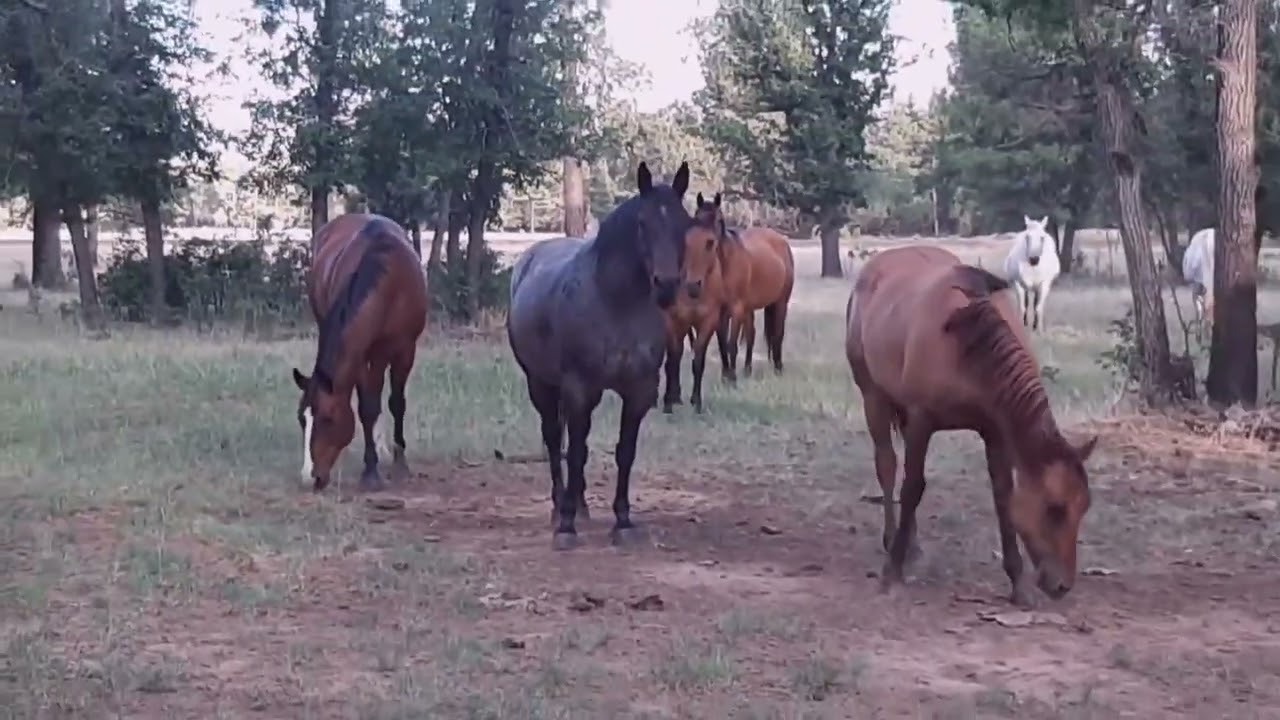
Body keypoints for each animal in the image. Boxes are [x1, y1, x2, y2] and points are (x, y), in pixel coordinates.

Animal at [290, 213, 429, 493]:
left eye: (328, 419)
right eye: (302, 419)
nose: (310, 478)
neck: (391, 283)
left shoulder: (405, 349)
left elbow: (396, 403)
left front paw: (399, 463)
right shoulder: (362, 355)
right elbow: (367, 408)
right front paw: (371, 469)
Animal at [507, 161, 692, 550]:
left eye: (684, 223)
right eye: (643, 223)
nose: (667, 286)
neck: (615, 302)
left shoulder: (639, 391)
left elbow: (624, 452)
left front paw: (623, 522)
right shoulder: (579, 388)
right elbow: (576, 452)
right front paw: (566, 527)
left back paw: (579, 504)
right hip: (540, 383)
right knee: (555, 439)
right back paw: (560, 506)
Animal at [659, 191, 731, 414]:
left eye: (710, 242)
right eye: (685, 241)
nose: (692, 285)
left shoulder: (708, 321)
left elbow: (698, 360)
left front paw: (696, 402)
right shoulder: (673, 320)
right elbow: (673, 358)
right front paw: (668, 402)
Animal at [715, 219, 795, 382]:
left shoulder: (736, 310)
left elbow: (731, 344)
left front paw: (731, 377)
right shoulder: (721, 313)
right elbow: (723, 344)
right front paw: (726, 376)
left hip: (781, 303)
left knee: (778, 334)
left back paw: (778, 368)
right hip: (749, 309)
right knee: (752, 335)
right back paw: (747, 370)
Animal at [845, 245, 1098, 607]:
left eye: (1083, 507)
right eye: (1055, 508)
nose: (1063, 585)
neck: (970, 340)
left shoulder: (996, 431)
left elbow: (1003, 496)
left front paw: (1018, 583)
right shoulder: (921, 419)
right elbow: (912, 488)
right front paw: (891, 573)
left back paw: (912, 545)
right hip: (873, 397)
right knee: (888, 467)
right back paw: (894, 539)